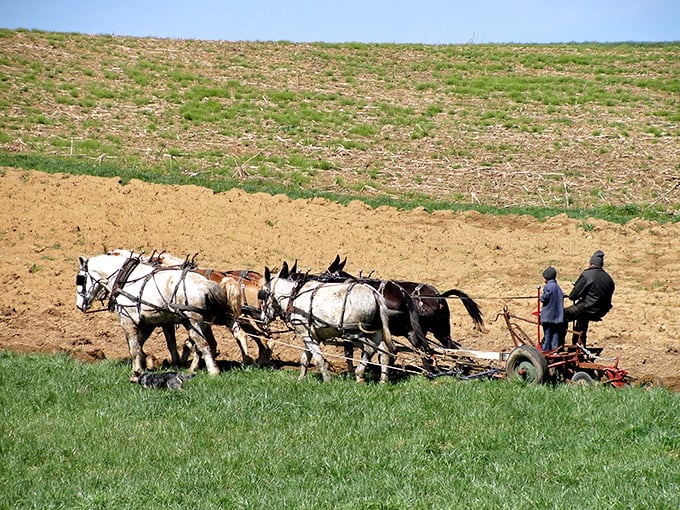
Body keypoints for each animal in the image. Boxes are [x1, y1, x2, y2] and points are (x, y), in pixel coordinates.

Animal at [76, 252, 239, 376]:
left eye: (80, 279)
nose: (79, 306)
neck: (127, 278)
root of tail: (206, 284)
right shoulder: (150, 321)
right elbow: (143, 344)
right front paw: (150, 362)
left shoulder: (127, 319)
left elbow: (134, 347)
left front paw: (137, 370)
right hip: (202, 323)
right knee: (209, 344)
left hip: (193, 322)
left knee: (204, 344)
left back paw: (213, 372)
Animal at [259, 262, 395, 383]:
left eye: (262, 294)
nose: (262, 318)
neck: (293, 297)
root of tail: (375, 294)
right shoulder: (310, 336)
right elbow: (305, 359)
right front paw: (300, 379)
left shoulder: (306, 334)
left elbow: (319, 359)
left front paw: (327, 379)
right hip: (376, 332)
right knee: (384, 352)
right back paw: (383, 381)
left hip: (355, 333)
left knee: (369, 349)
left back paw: (360, 375)